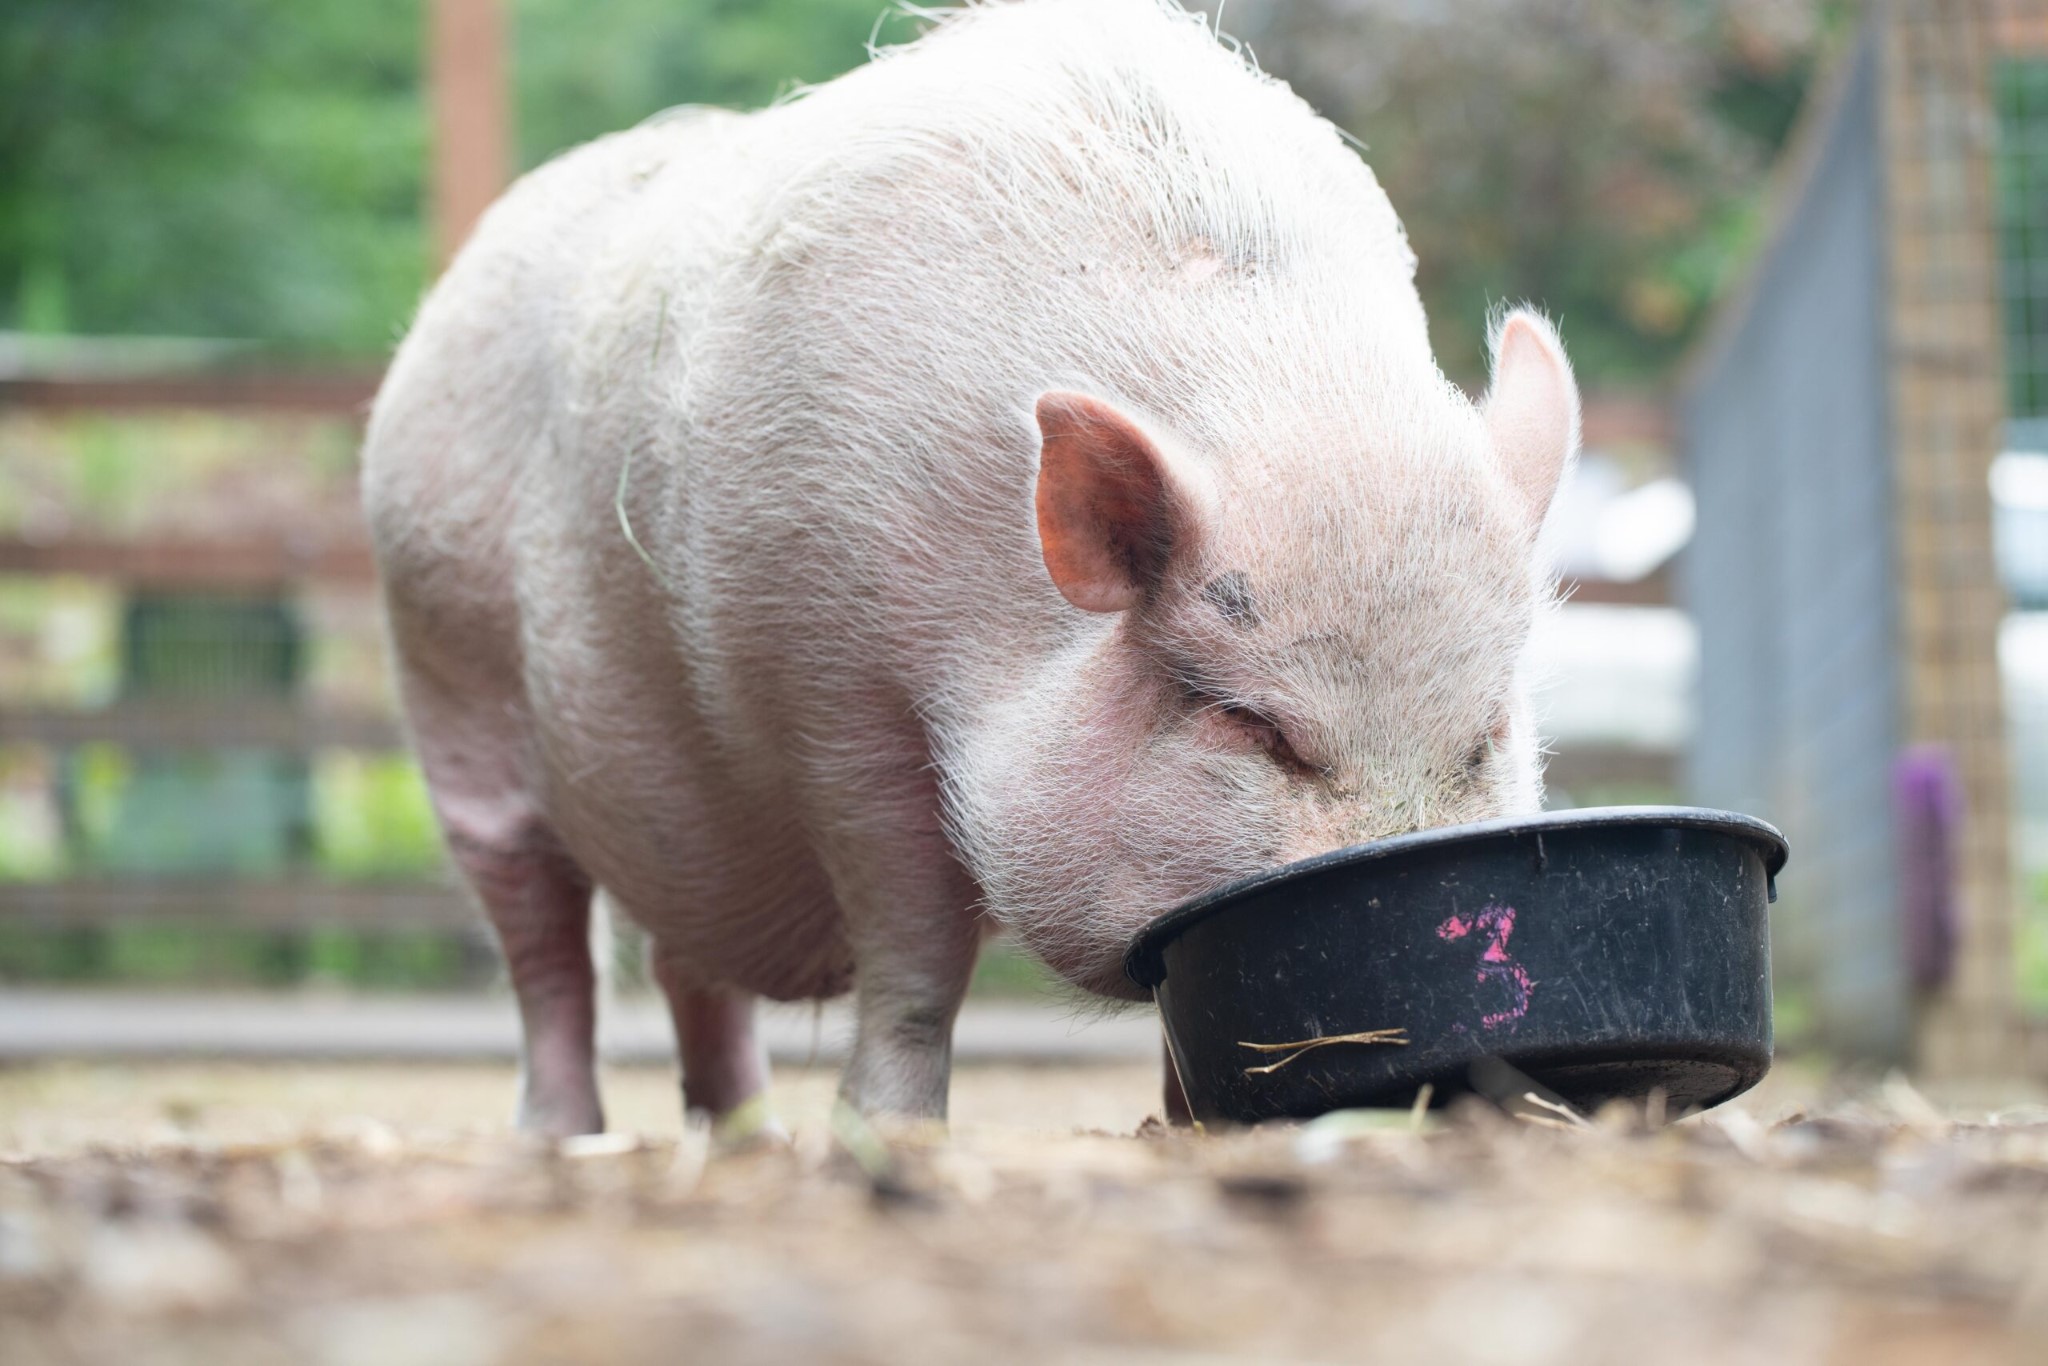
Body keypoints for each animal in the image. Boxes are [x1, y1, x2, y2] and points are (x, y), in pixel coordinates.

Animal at [360, 0, 1578, 1135]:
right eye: (1252, 724)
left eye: (1484, 735)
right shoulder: (839, 699)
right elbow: (916, 948)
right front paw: (886, 1135)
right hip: (447, 682)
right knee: (542, 941)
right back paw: (561, 1138)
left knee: (686, 964)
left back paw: (749, 1138)